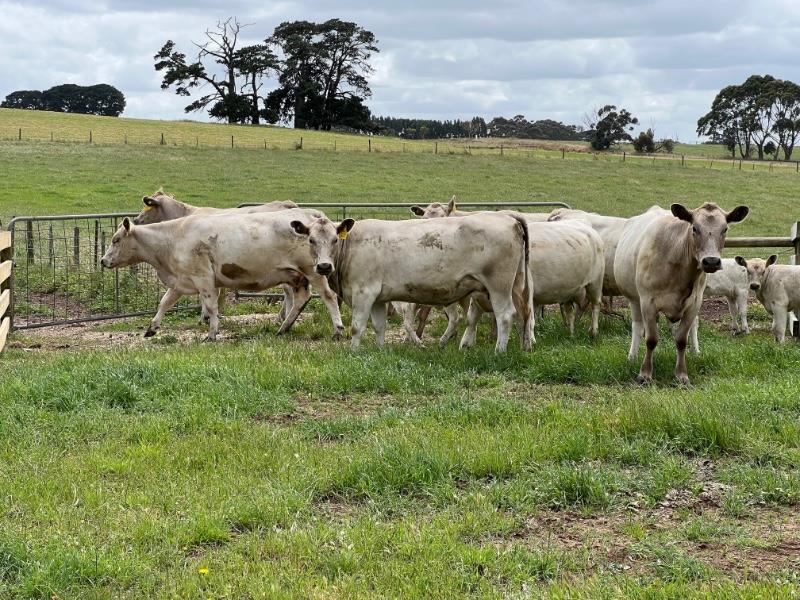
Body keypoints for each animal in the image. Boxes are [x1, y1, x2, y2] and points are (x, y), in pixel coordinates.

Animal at [100, 209, 348, 341]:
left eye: (116, 239)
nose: (103, 260)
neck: (173, 238)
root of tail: (310, 213)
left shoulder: (203, 278)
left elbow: (211, 306)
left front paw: (212, 333)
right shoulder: (181, 280)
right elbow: (164, 302)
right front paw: (151, 328)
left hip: (315, 270)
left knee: (328, 297)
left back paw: (337, 329)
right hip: (296, 276)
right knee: (301, 299)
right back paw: (283, 328)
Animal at [329, 213, 533, 353]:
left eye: (333, 240)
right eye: (317, 239)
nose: (324, 266)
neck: (351, 245)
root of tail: (507, 216)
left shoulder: (364, 292)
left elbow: (357, 326)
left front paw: (353, 352)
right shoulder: (379, 297)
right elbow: (379, 326)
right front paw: (380, 351)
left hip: (499, 286)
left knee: (505, 315)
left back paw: (499, 352)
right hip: (517, 283)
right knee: (524, 314)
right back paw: (525, 347)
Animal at [614, 203, 749, 385]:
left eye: (725, 229)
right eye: (694, 228)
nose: (711, 261)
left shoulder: (694, 304)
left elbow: (681, 340)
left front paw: (681, 375)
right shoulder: (648, 301)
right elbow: (651, 339)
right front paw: (645, 374)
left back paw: (695, 352)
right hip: (634, 298)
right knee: (637, 326)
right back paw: (632, 356)